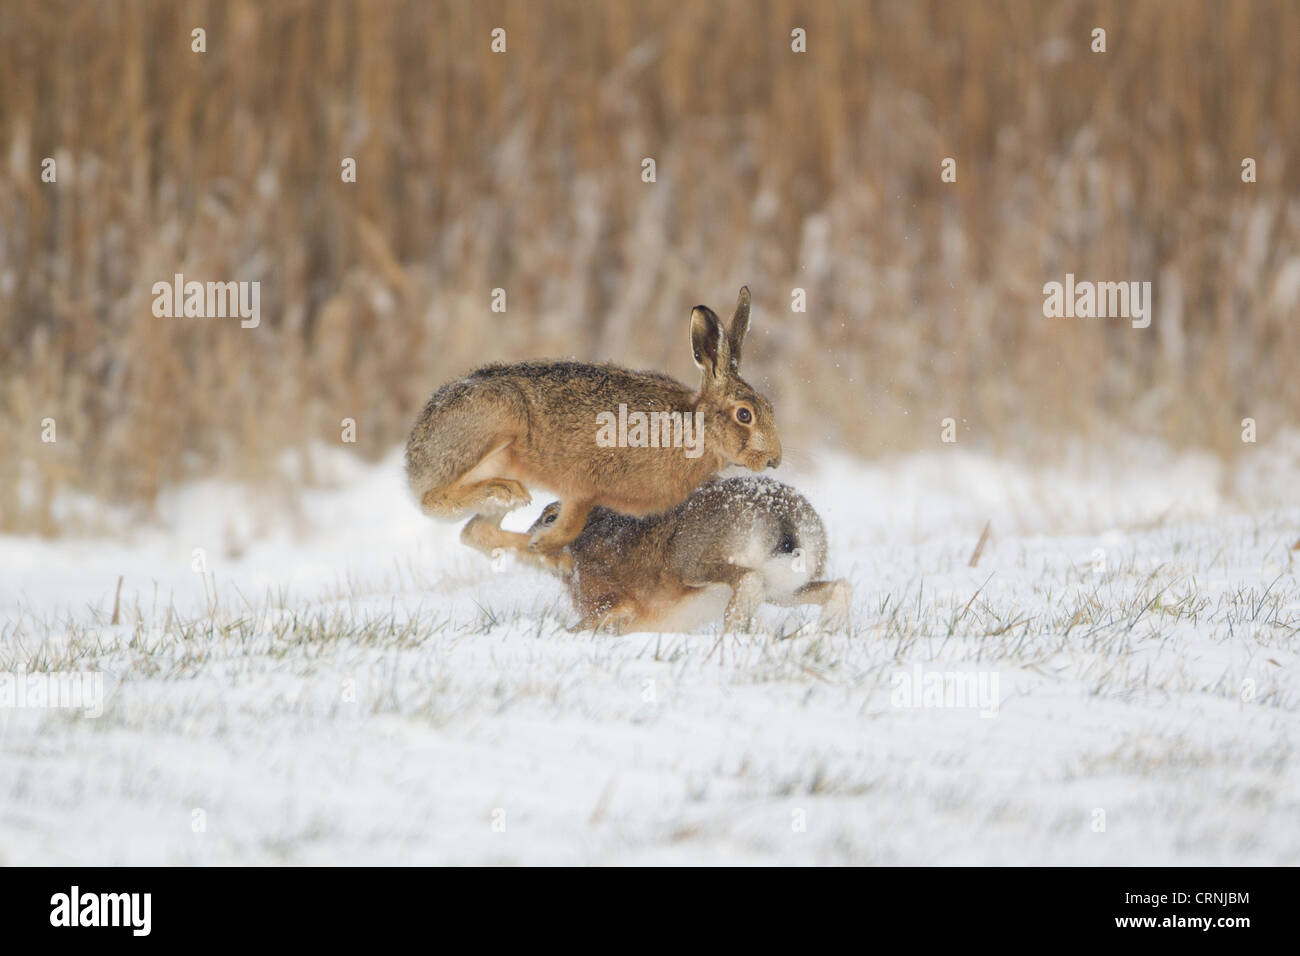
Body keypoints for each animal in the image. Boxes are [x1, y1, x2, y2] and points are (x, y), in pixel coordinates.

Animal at [405, 287, 782, 559]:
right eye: (744, 415)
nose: (775, 459)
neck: (696, 428)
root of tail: (414, 455)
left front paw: (541, 545)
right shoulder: (584, 484)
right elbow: (572, 523)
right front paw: (545, 542)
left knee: (474, 532)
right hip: (496, 419)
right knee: (433, 499)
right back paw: (505, 495)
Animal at [461, 475, 851, 634]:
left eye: (549, 517)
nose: (530, 539)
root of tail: (781, 517)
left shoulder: (605, 599)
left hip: (693, 563)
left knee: (746, 582)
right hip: (785, 589)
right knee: (836, 588)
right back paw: (828, 630)